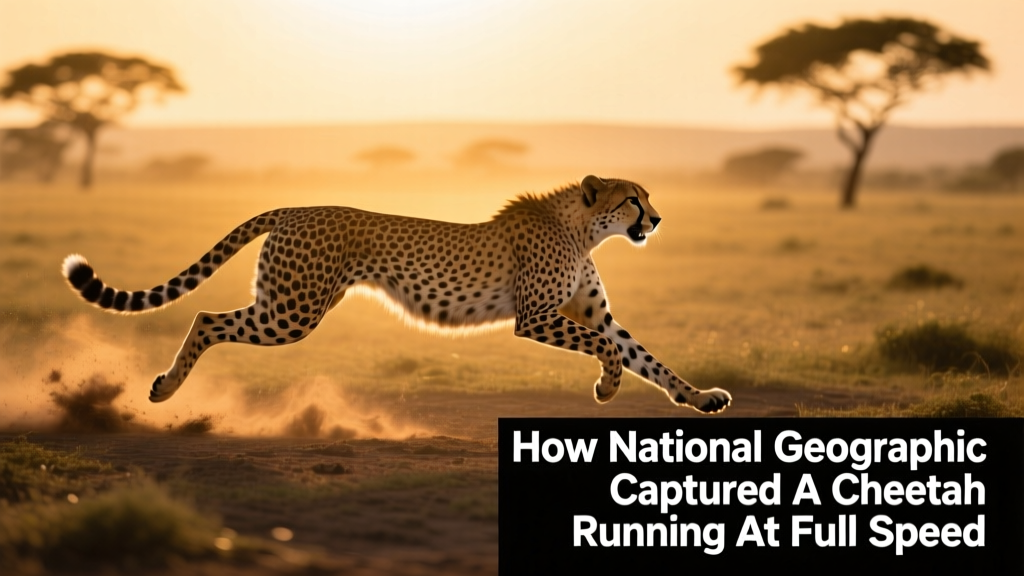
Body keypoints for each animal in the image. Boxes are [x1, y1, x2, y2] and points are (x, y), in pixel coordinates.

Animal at [61, 175, 731, 413]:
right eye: (633, 199)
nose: (658, 219)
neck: (582, 226)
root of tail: (296, 205)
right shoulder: (537, 317)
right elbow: (611, 350)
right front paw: (606, 388)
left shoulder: (593, 314)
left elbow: (647, 356)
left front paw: (701, 398)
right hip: (292, 312)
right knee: (204, 316)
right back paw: (164, 388)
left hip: (287, 304)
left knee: (208, 315)